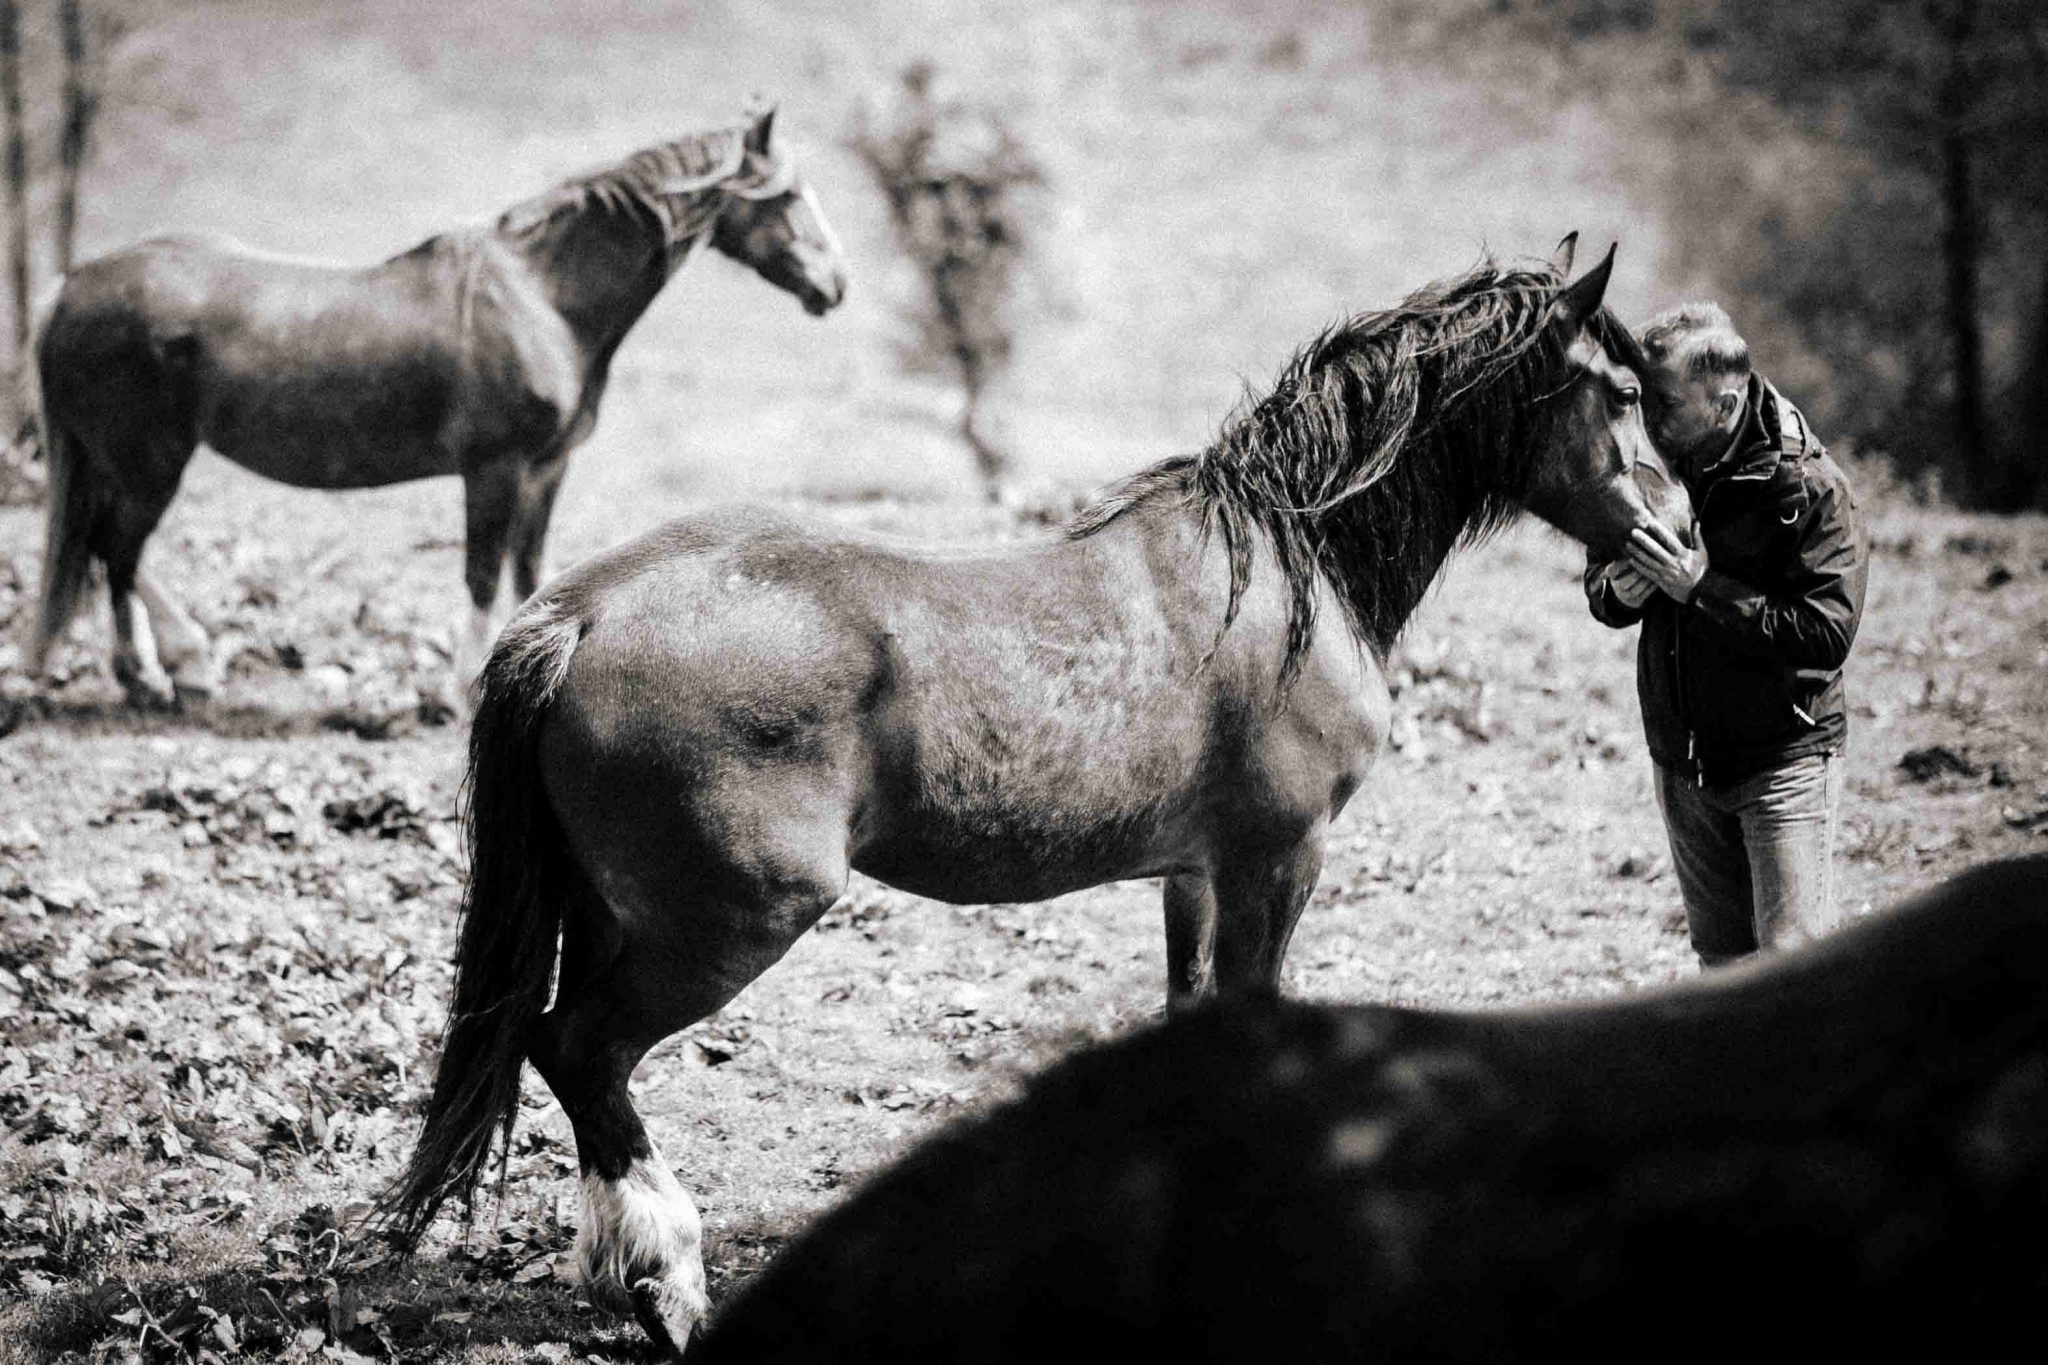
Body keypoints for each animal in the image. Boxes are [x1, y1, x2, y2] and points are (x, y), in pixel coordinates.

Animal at [23, 105, 847, 707]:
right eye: (789, 196)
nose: (835, 285)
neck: (542, 298)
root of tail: (70, 287)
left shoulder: (545, 472)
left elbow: (530, 572)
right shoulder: (495, 469)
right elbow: (482, 575)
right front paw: (458, 690)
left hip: (127, 462)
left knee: (107, 552)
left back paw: (176, 666)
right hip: (150, 461)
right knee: (117, 553)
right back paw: (156, 673)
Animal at [380, 237, 1692, 1357]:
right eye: (1623, 393)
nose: (1679, 540)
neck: (1288, 569)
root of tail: (578, 617)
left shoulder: (1193, 876)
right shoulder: (1276, 862)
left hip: (615, 912)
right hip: (729, 923)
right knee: (579, 1048)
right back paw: (667, 1284)